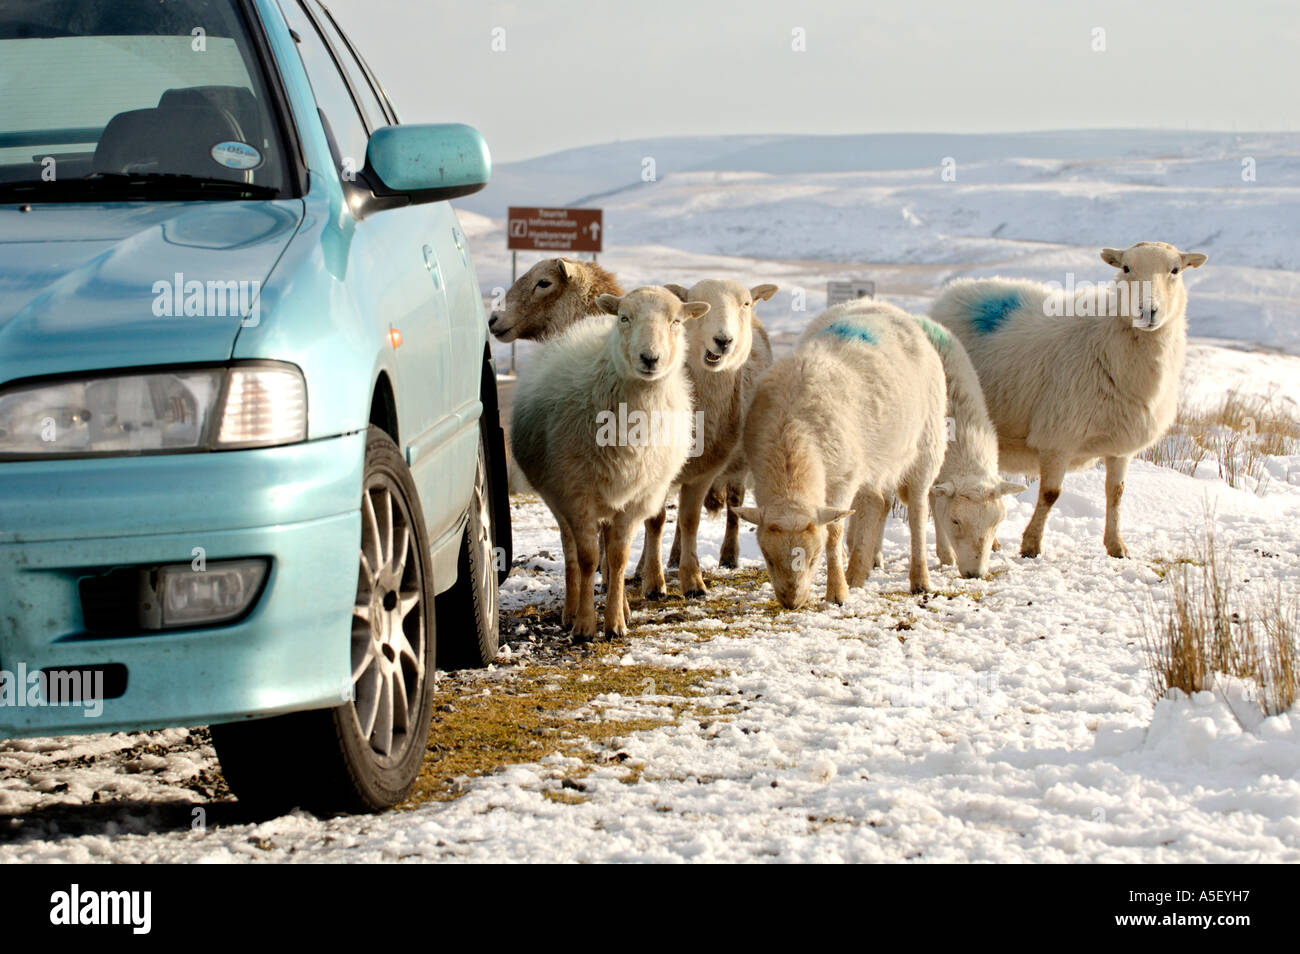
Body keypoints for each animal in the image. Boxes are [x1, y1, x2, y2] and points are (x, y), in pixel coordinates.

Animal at [511, 286, 709, 637]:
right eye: (624, 317)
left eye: (676, 321)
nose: (650, 358)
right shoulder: (577, 494)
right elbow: (588, 559)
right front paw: (584, 625)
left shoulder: (634, 499)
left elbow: (617, 558)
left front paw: (615, 622)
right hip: (559, 497)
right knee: (570, 551)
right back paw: (570, 610)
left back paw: (623, 609)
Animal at [632, 279, 778, 599]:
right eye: (699, 305)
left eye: (745, 304)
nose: (723, 340)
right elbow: (655, 522)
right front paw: (653, 582)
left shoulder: (708, 467)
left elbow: (690, 521)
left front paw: (692, 578)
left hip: (738, 461)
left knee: (733, 505)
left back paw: (725, 556)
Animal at [737, 300, 946, 608]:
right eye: (767, 558)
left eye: (814, 559)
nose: (792, 603)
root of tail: (880, 304)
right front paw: (845, 580)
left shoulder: (843, 479)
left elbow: (834, 533)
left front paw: (837, 591)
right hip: (873, 457)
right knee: (877, 500)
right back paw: (858, 572)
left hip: (926, 444)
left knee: (918, 509)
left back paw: (919, 579)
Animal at [929, 241, 1208, 559]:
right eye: (1126, 268)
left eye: (1175, 270)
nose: (1147, 310)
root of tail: (955, 289)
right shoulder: (1058, 437)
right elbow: (1051, 494)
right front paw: (1031, 545)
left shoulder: (1121, 446)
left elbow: (1116, 493)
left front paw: (1116, 545)